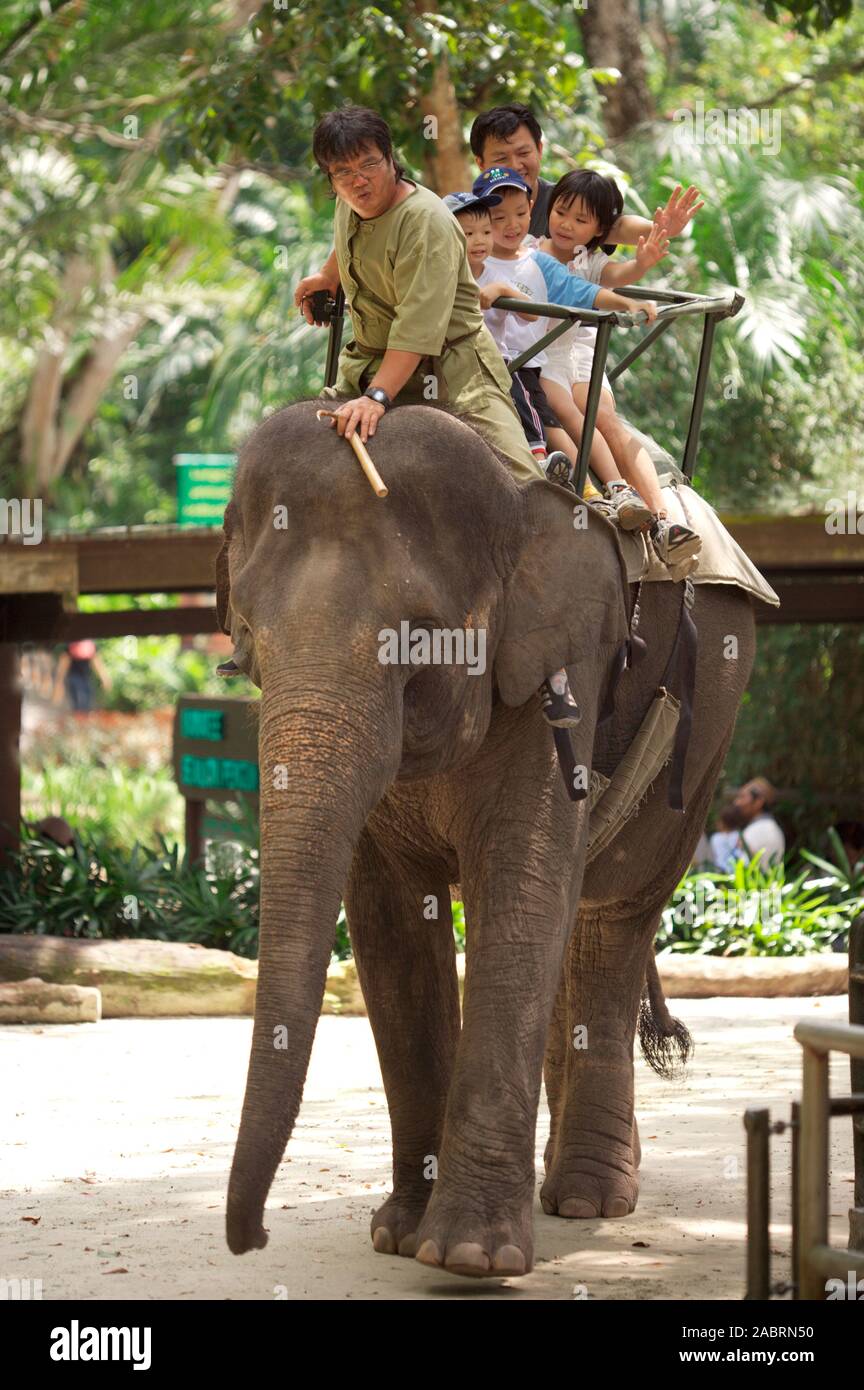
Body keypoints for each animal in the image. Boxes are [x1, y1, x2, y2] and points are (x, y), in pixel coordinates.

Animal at [217, 397, 756, 1279]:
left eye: (420, 640)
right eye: (249, 637)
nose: (252, 1238)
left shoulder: (562, 668)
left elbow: (519, 885)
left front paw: (469, 1256)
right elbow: (392, 921)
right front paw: (399, 1235)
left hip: (713, 718)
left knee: (612, 919)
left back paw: (589, 1199)